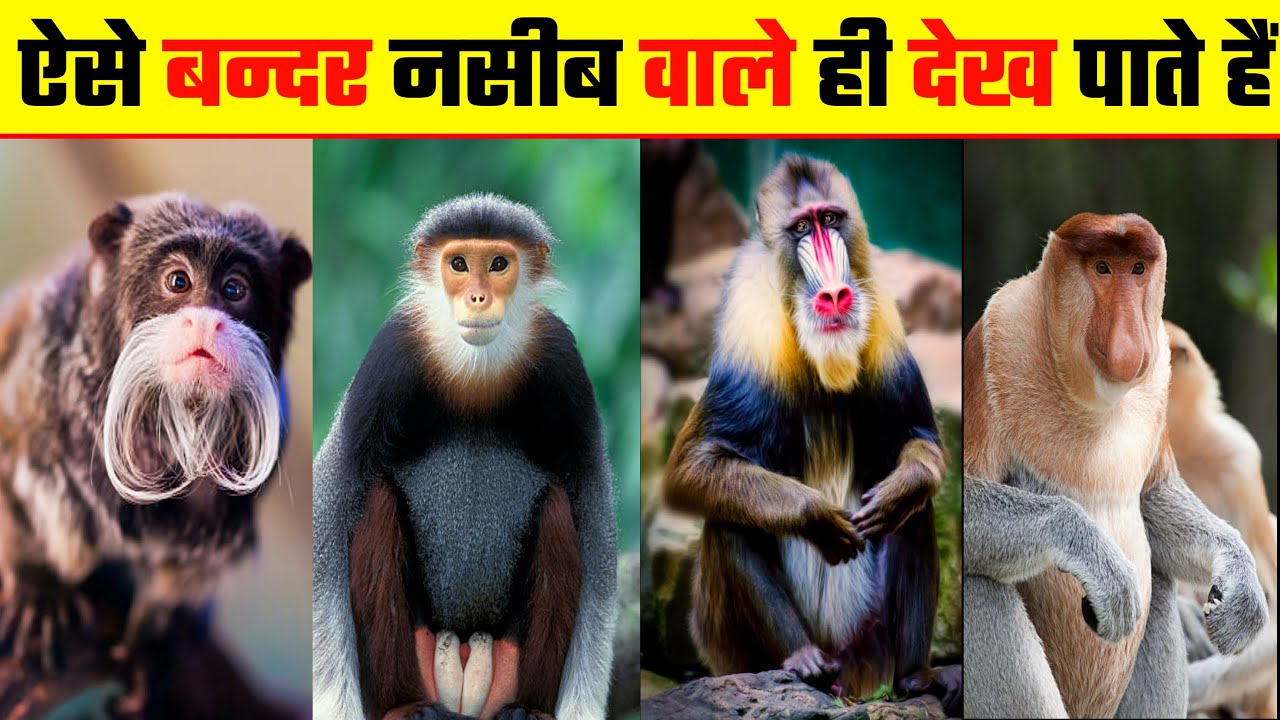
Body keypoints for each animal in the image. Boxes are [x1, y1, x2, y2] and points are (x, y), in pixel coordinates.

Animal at [0, 192, 311, 712]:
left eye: (234, 289)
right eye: (178, 281)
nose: (205, 319)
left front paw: (154, 643)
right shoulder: (40, 381)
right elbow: (17, 463)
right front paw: (39, 581)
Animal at [311, 193, 617, 720]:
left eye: (498, 264)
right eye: (458, 264)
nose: (478, 298)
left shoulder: (563, 362)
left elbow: (597, 523)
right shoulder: (388, 355)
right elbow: (330, 503)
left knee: (559, 507)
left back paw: (527, 708)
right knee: (376, 499)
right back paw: (408, 705)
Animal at [660, 155, 947, 702]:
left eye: (830, 220)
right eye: (800, 228)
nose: (835, 293)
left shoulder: (884, 321)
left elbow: (918, 438)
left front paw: (899, 490)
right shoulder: (751, 330)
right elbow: (693, 465)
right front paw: (817, 517)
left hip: (868, 644)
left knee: (916, 514)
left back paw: (915, 677)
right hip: (728, 648)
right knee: (730, 516)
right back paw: (804, 660)